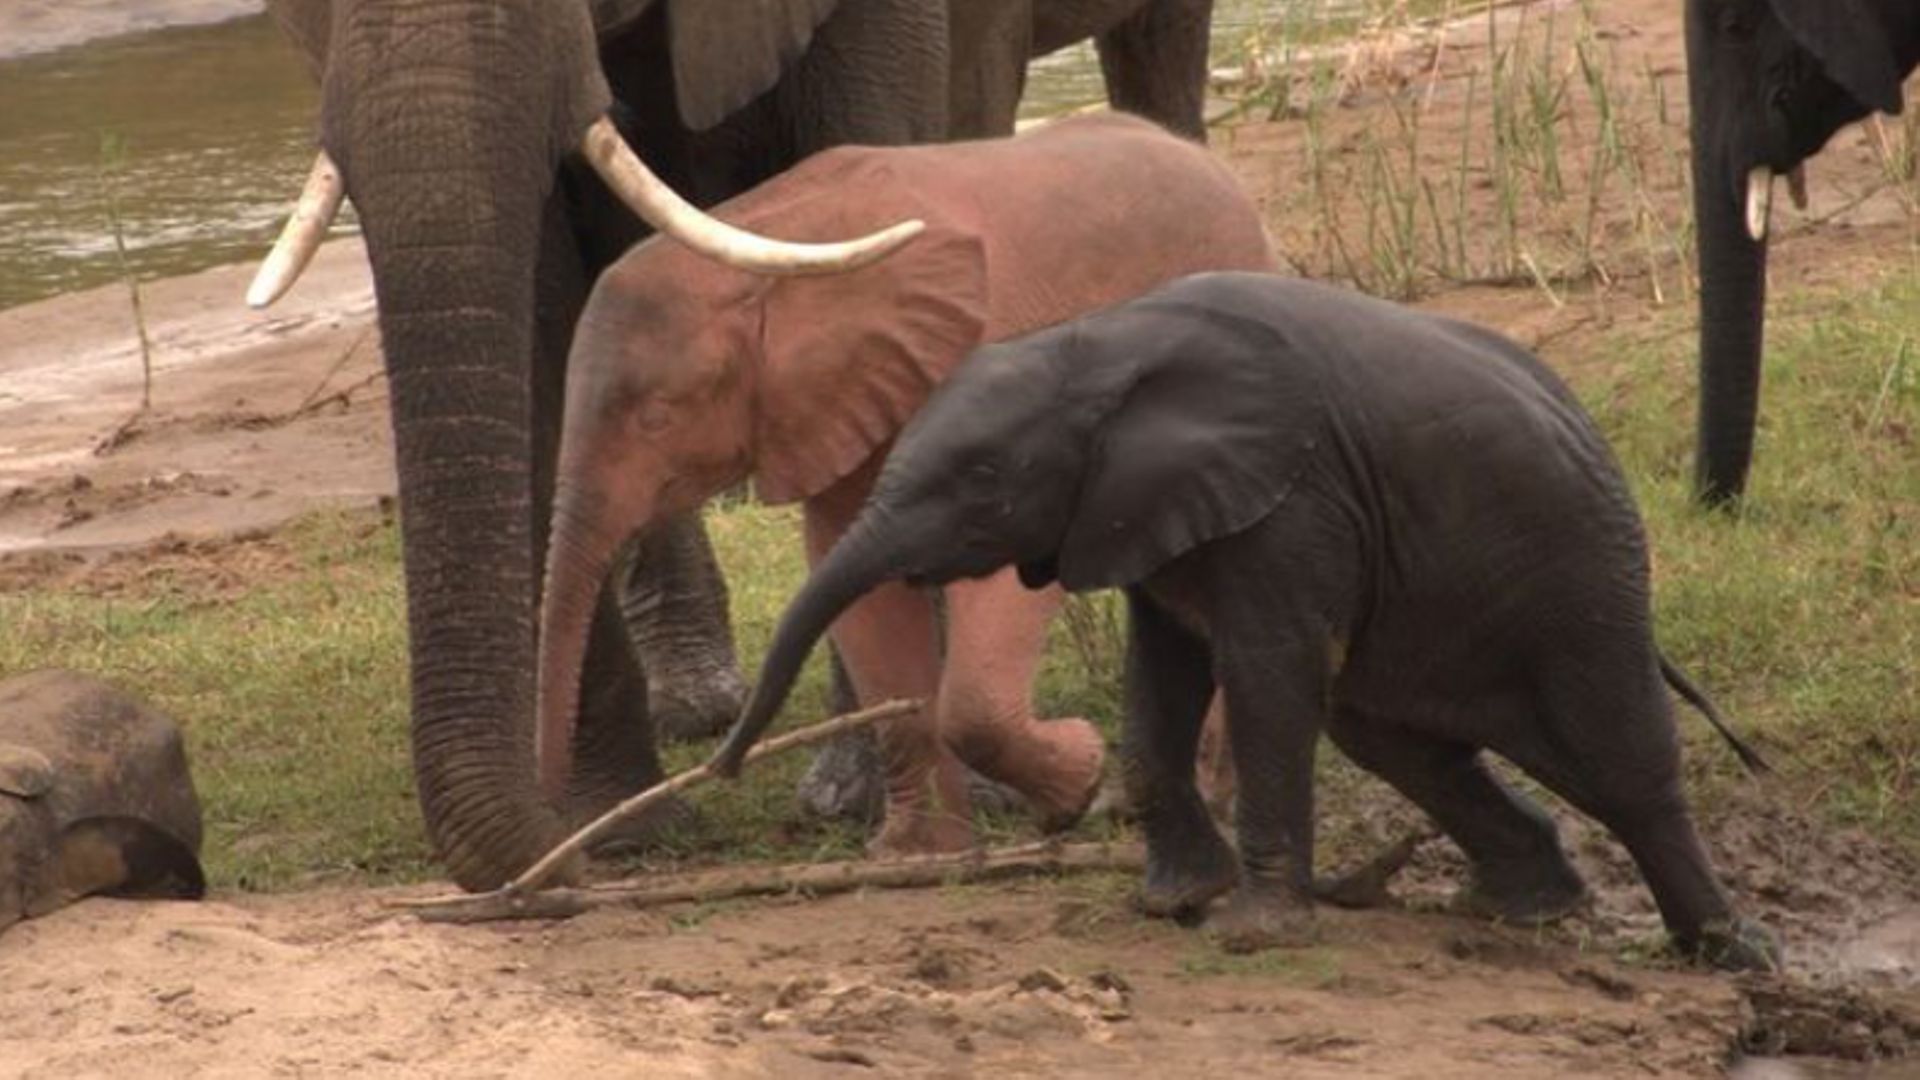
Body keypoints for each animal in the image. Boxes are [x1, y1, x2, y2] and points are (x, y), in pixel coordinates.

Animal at [535, 113, 1275, 855]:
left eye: (658, 418)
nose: (563, 843)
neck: (767, 251)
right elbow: (850, 572)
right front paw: (918, 853)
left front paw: (1078, 787)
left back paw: (1205, 801)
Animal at [717, 271, 1781, 971]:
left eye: (982, 480)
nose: (724, 764)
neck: (1097, 343)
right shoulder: (1153, 511)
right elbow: (1164, 676)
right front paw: (1172, 902)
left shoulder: (1294, 499)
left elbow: (1268, 672)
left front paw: (1251, 933)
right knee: (1400, 743)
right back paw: (1524, 909)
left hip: (1585, 578)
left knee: (1622, 761)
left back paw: (1730, 954)